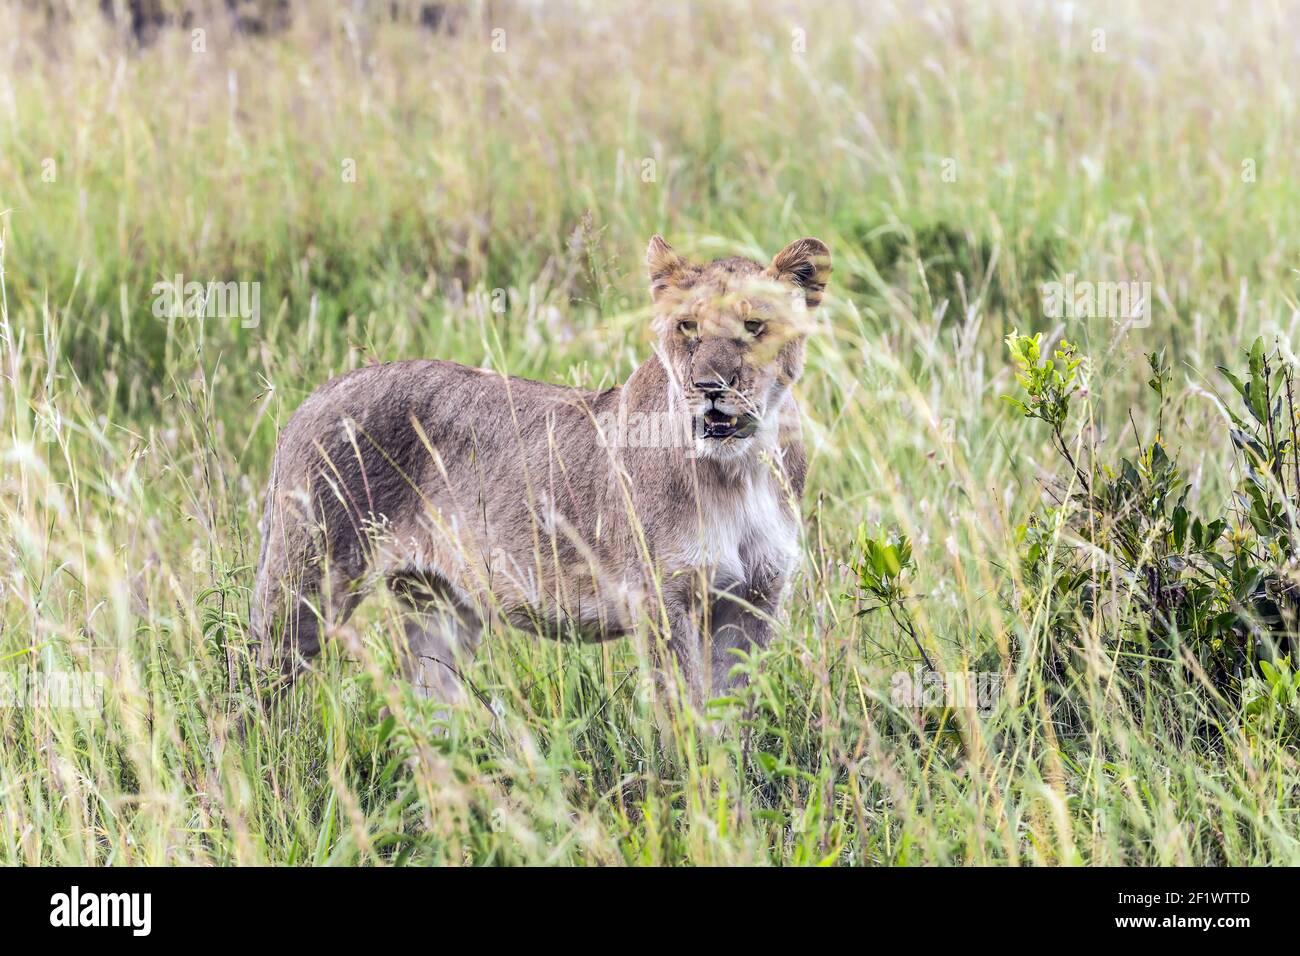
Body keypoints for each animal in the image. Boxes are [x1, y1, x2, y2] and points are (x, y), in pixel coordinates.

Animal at [249, 235, 831, 713]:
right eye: (687, 327)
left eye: (754, 327)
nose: (711, 386)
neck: (741, 469)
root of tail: (317, 395)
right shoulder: (662, 602)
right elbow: (683, 717)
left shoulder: (756, 598)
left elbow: (733, 716)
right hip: (306, 584)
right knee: (249, 684)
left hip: (437, 604)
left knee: (431, 704)